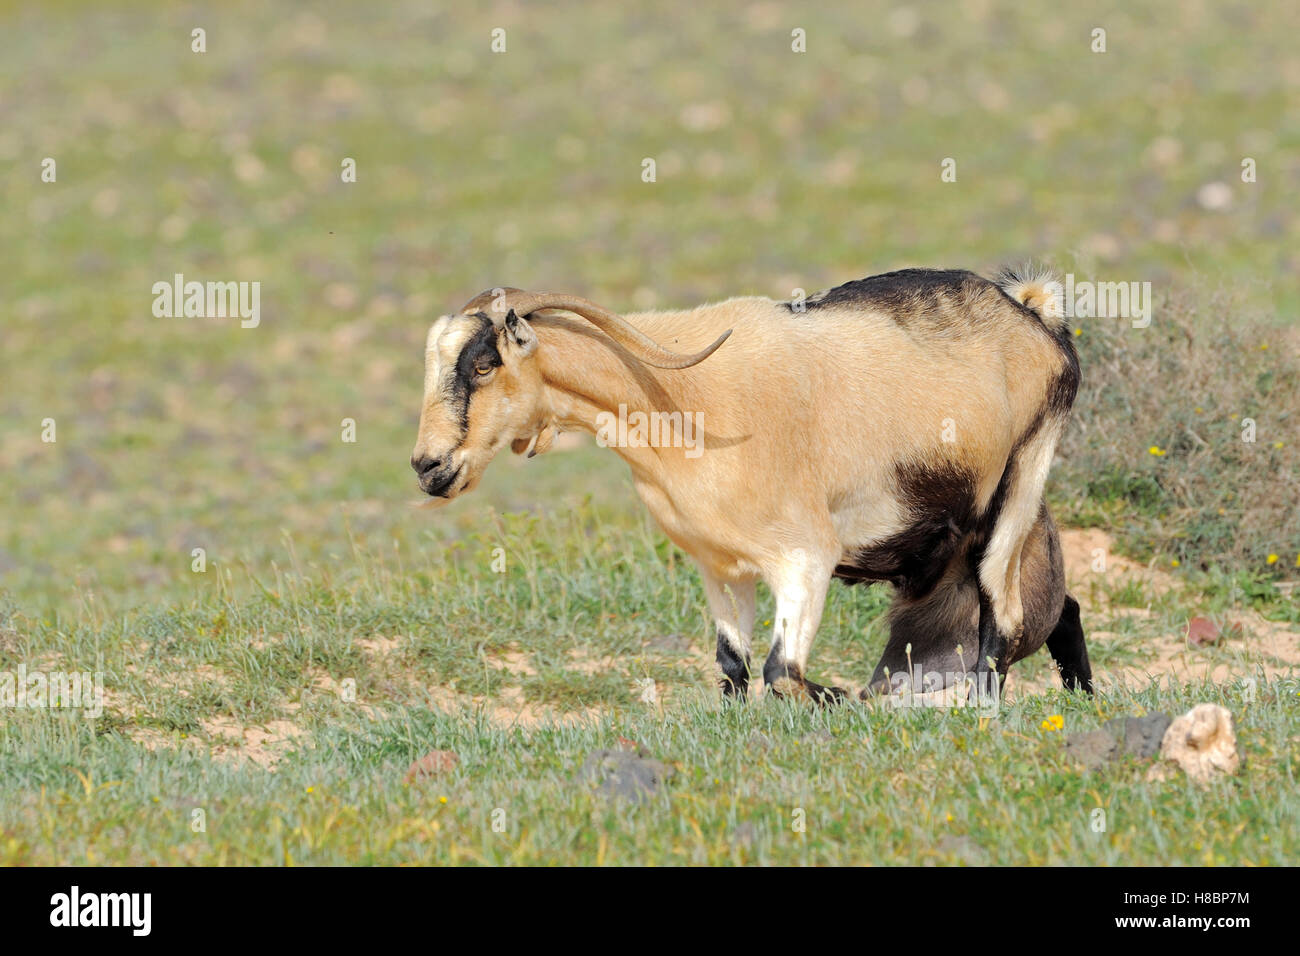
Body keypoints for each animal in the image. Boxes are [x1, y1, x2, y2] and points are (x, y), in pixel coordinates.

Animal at [410, 268, 1087, 703]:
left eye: (483, 363)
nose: (427, 466)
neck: (682, 398)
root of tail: (1035, 315)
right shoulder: (720, 564)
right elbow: (732, 668)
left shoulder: (806, 557)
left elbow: (779, 669)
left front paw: (848, 698)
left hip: (1020, 487)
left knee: (1001, 625)